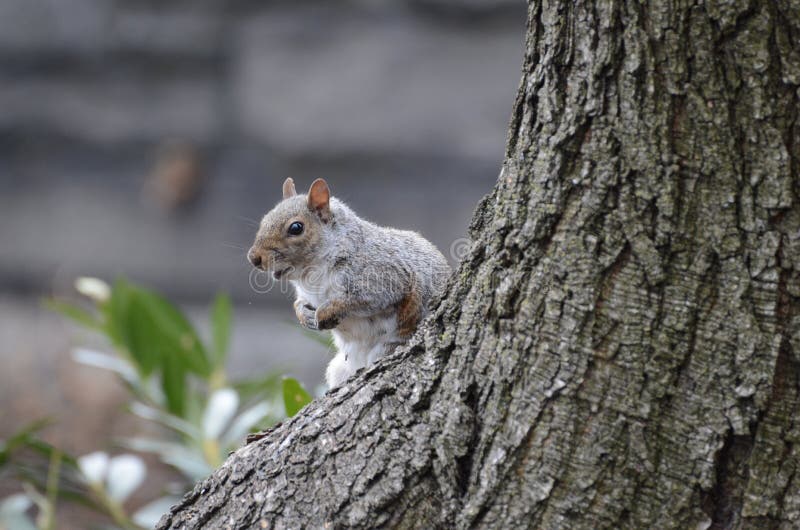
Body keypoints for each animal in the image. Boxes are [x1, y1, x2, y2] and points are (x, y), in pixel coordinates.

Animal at [247, 178, 451, 388]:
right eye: (264, 220)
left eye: (296, 228)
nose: (254, 258)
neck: (310, 275)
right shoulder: (306, 294)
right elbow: (299, 303)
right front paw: (304, 316)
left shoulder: (383, 278)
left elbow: (358, 300)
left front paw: (324, 314)